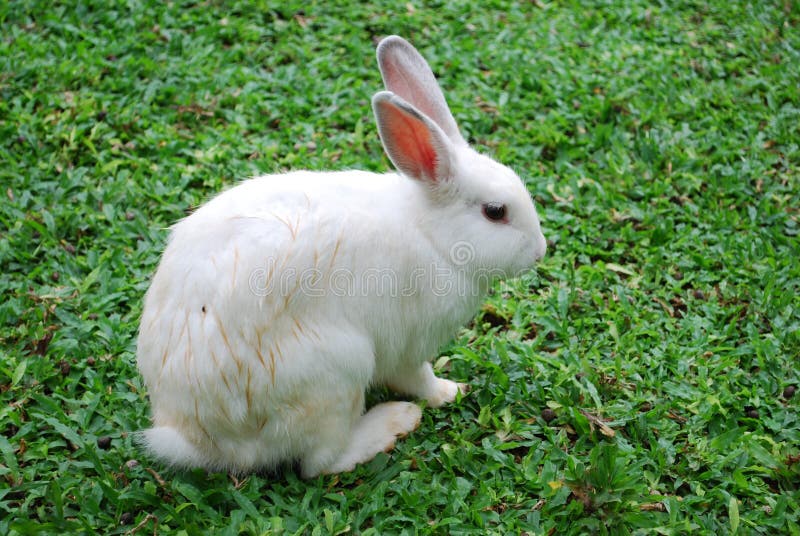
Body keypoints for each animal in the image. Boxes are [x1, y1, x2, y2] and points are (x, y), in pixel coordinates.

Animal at [136, 35, 546, 478]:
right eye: (495, 212)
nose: (540, 250)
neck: (431, 233)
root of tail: (200, 438)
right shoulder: (409, 345)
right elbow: (417, 378)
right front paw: (449, 392)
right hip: (338, 371)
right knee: (320, 463)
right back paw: (393, 423)